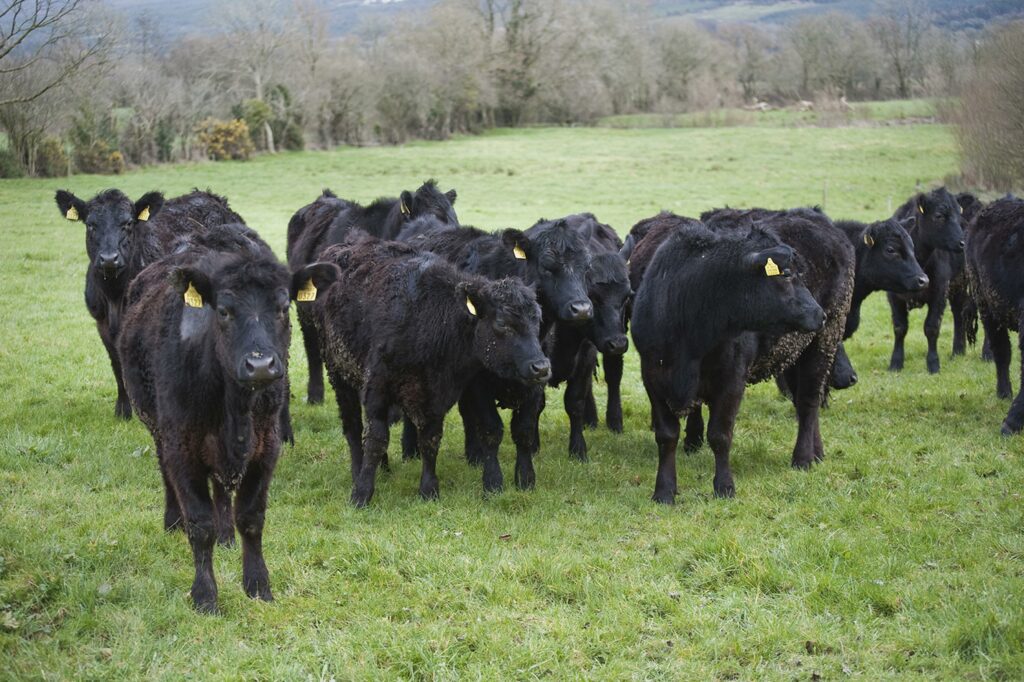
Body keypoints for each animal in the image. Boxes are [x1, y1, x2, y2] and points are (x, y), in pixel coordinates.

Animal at [54, 188, 244, 419]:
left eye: (127, 223)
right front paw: (123, 409)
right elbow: (116, 363)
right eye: (91, 224)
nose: (109, 259)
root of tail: (209, 195)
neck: (114, 295)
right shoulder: (102, 323)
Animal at [118, 221, 338, 613]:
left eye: (283, 307)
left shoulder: (266, 447)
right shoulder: (182, 446)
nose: (260, 365)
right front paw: (205, 595)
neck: (235, 406)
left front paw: (258, 585)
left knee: (221, 489)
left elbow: (250, 517)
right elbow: (199, 523)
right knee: (168, 475)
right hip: (158, 428)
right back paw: (172, 520)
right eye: (223, 310)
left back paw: (226, 536)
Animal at [309, 235, 549, 506]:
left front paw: (429, 490)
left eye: (537, 319)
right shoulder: (377, 389)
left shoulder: (437, 395)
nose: (541, 367)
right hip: (339, 375)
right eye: (502, 324)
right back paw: (357, 470)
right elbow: (376, 439)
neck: (430, 319)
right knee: (353, 428)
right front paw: (361, 492)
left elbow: (430, 441)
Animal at [631, 220, 828, 503]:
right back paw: (817, 450)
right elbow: (666, 435)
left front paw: (724, 486)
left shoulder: (732, 379)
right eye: (787, 274)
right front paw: (664, 490)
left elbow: (720, 435)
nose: (819, 314)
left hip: (820, 346)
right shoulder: (652, 377)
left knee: (809, 402)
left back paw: (803, 457)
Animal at [885, 188, 966, 374]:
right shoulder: (893, 295)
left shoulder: (940, 291)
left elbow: (931, 327)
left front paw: (933, 364)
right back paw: (958, 352)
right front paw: (896, 363)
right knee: (958, 313)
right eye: (939, 215)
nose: (962, 242)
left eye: (959, 215)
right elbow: (900, 327)